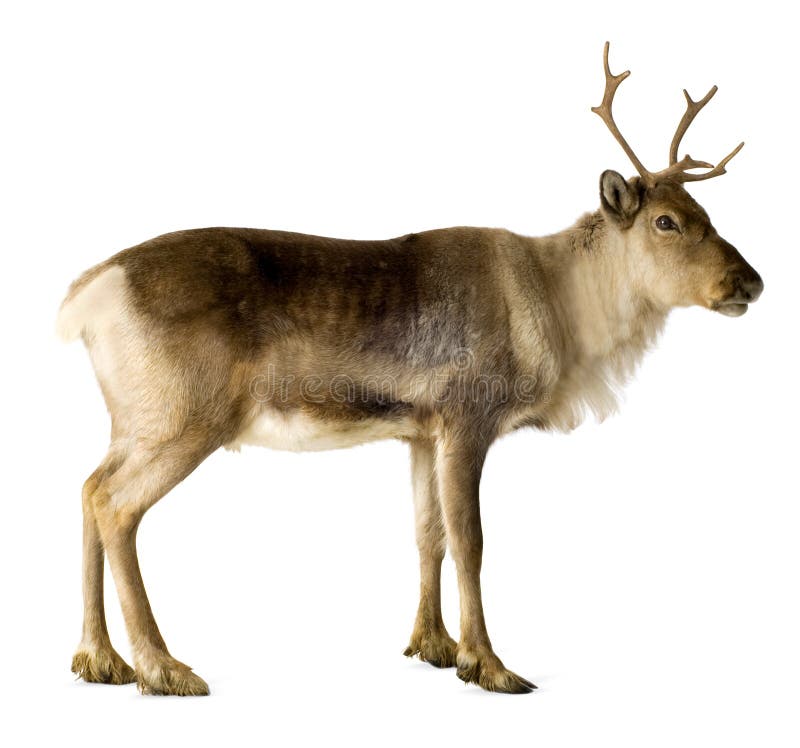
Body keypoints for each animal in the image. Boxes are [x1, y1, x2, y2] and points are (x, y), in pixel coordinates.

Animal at [58, 42, 762, 696]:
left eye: (708, 216)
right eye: (666, 221)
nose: (750, 282)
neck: (563, 307)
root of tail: (86, 297)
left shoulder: (420, 431)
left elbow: (430, 535)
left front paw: (436, 646)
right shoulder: (467, 415)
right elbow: (472, 540)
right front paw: (491, 665)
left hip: (134, 420)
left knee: (89, 488)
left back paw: (100, 659)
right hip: (185, 416)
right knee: (117, 506)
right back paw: (162, 667)